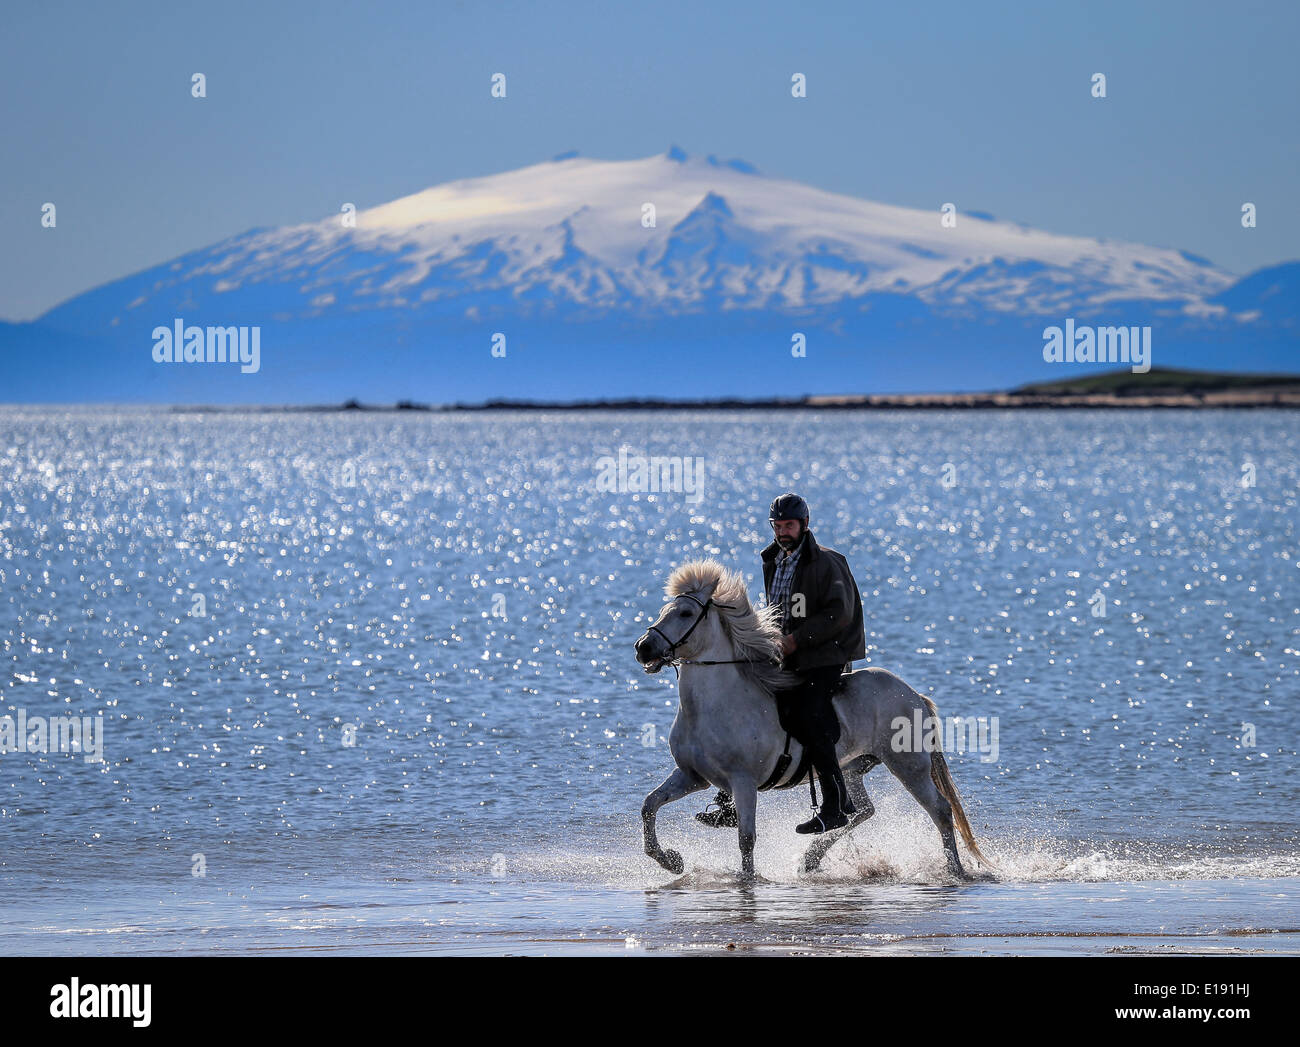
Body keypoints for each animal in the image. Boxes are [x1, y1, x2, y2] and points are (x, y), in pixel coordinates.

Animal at [633, 559, 994, 880]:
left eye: (685, 613)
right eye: (665, 609)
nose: (643, 648)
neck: (713, 706)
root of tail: (915, 695)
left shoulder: (743, 782)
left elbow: (746, 839)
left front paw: (747, 881)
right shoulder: (693, 776)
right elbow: (650, 805)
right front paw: (671, 861)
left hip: (908, 765)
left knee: (940, 810)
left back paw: (954, 870)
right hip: (851, 767)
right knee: (857, 811)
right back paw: (810, 857)